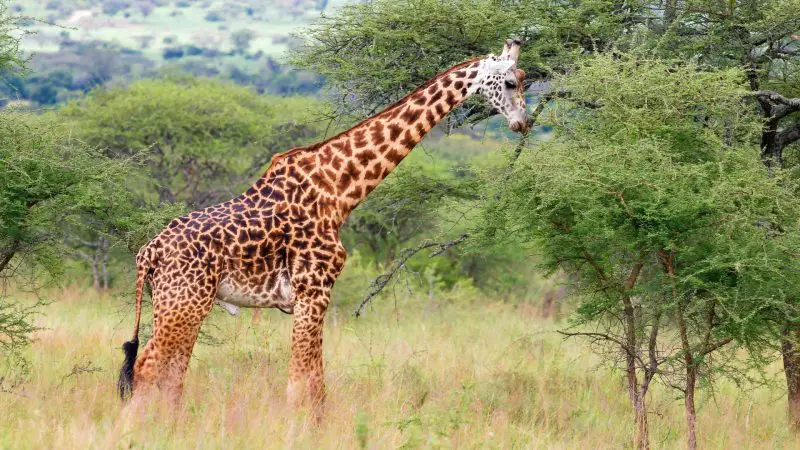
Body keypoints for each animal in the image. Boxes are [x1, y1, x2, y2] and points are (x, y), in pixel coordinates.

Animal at [118, 38, 528, 412]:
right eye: (510, 82)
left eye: (525, 80)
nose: (523, 123)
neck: (340, 190)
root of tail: (146, 253)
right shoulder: (314, 288)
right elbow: (304, 384)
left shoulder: (311, 294)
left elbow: (313, 383)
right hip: (185, 303)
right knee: (149, 367)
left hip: (178, 303)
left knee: (167, 372)